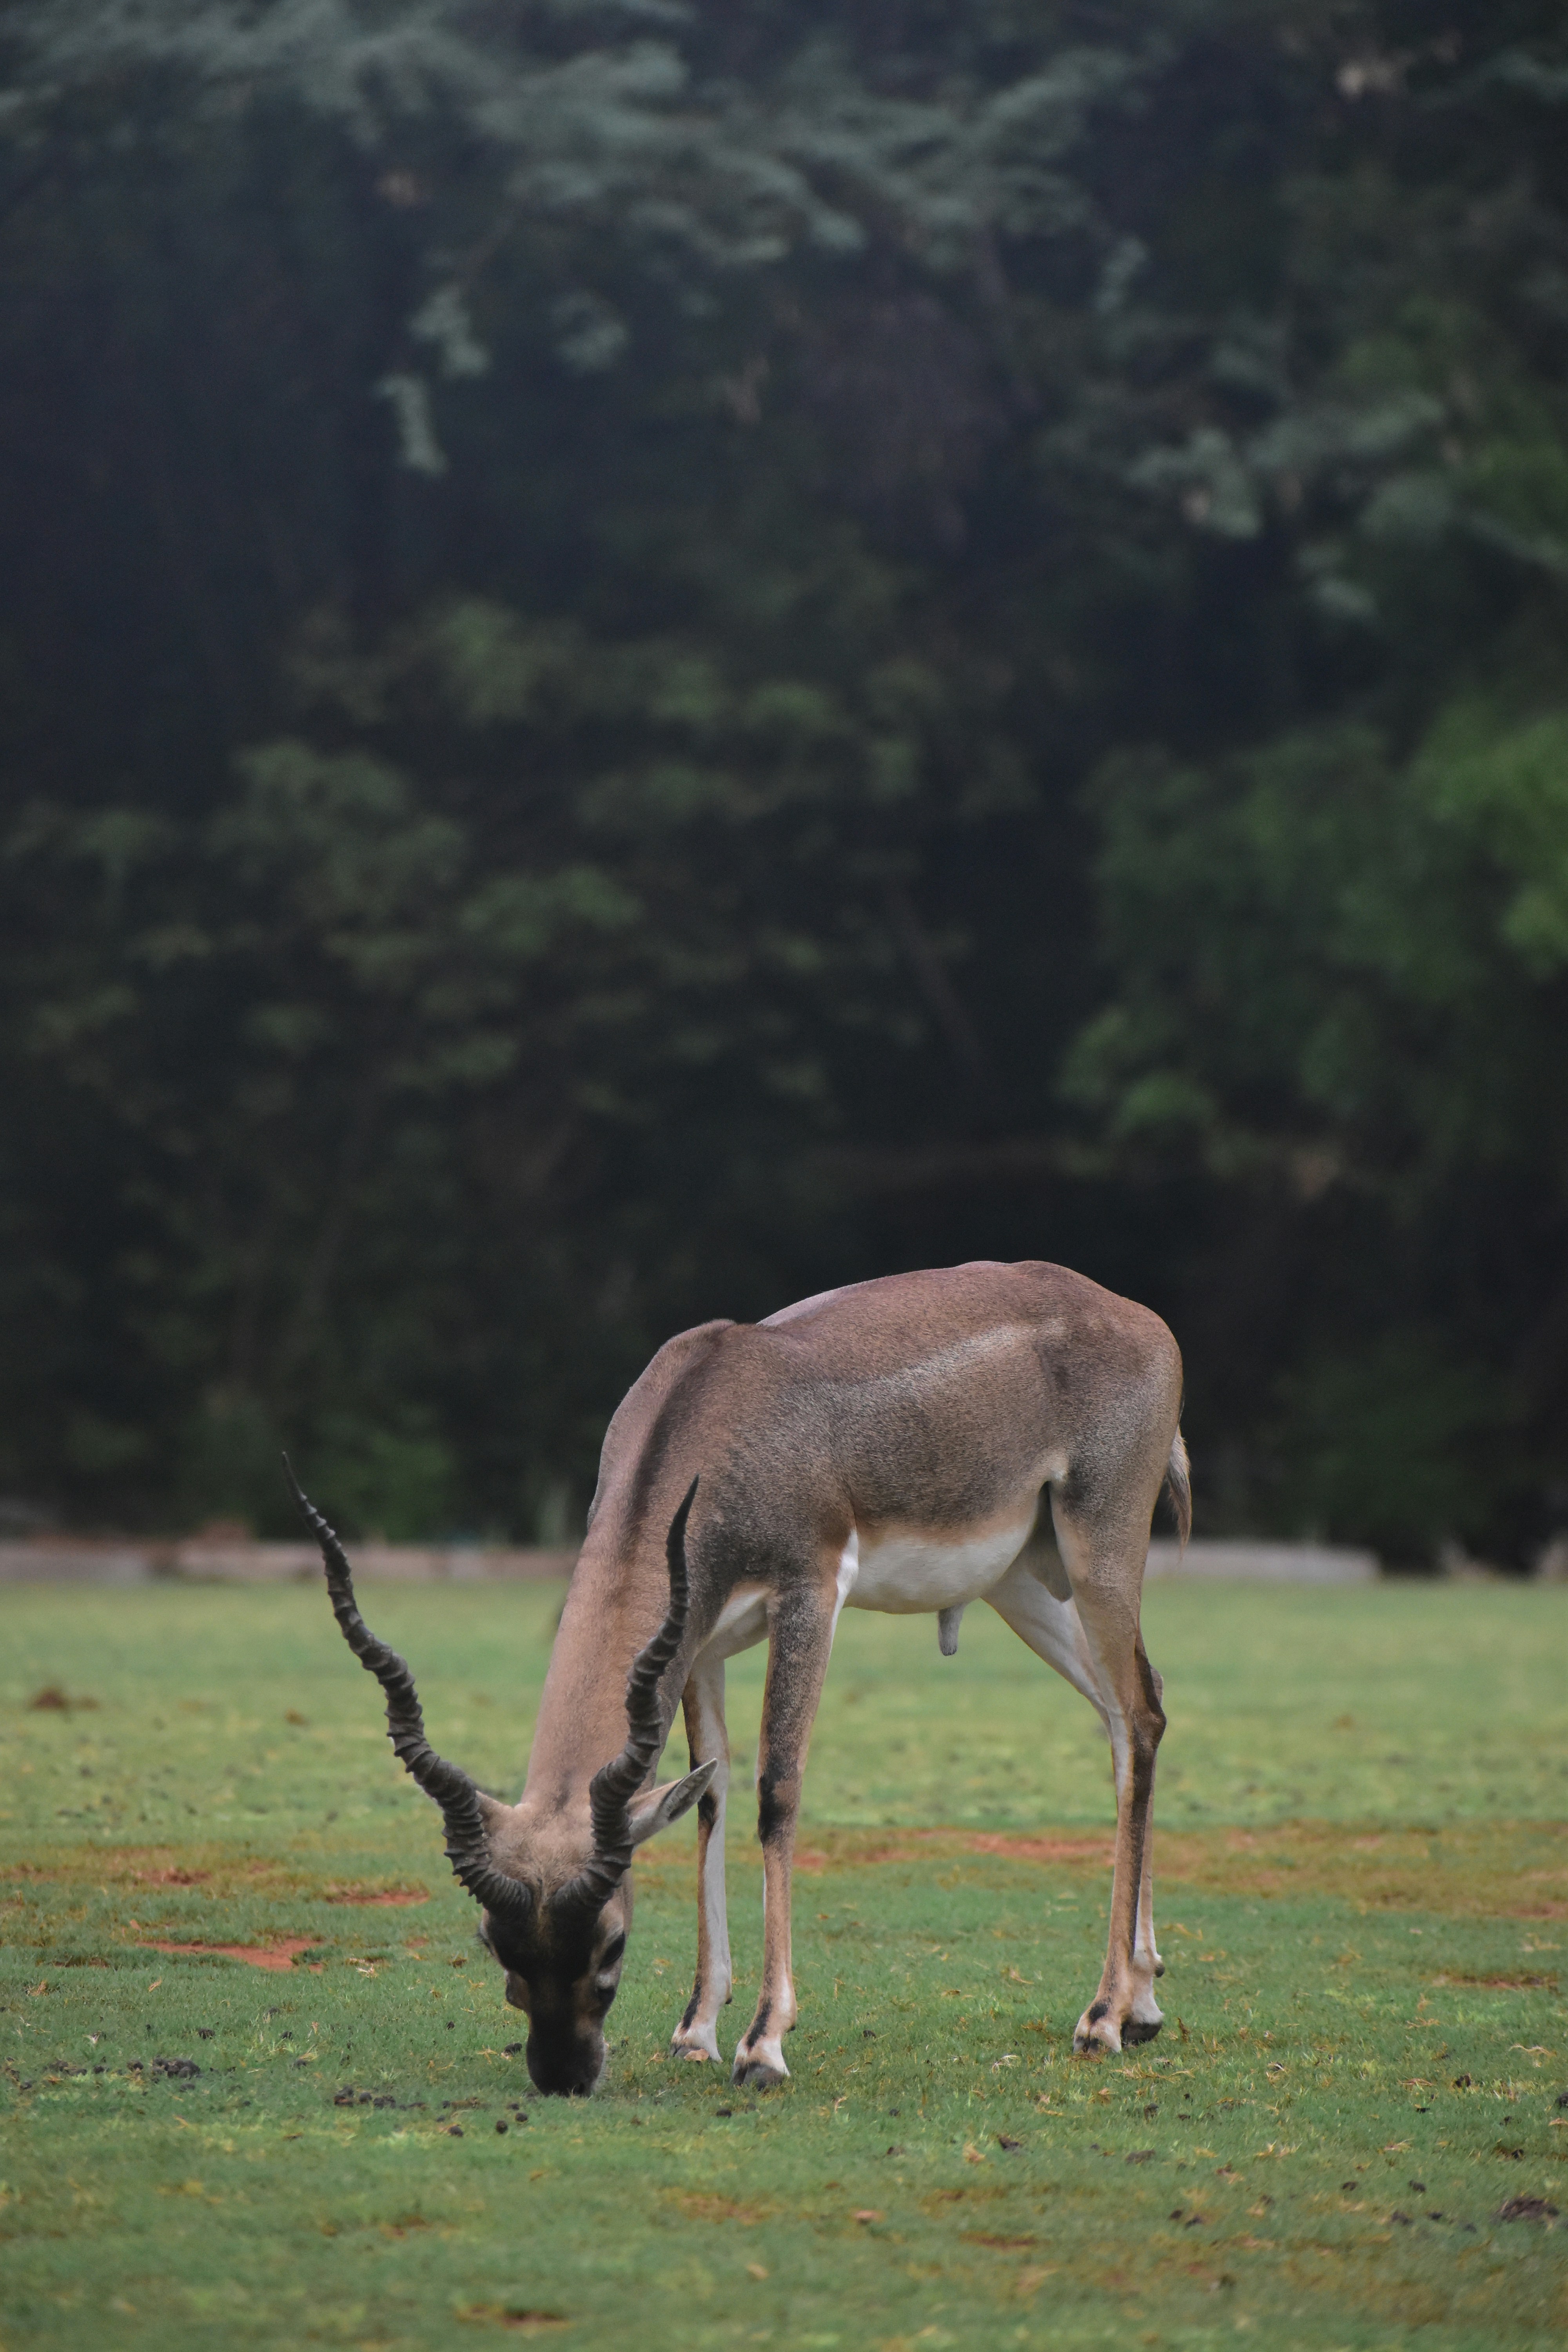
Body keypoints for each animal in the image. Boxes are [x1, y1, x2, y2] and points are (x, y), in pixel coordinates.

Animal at [290, 1258, 1188, 2096]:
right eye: (495, 1945)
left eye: (611, 1940)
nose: (564, 2074)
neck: (715, 1410)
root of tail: (1138, 1318)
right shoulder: (695, 1640)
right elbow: (709, 1796)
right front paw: (695, 2031)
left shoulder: (810, 1593)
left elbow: (776, 1791)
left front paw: (762, 2045)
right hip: (1021, 1582)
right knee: (1126, 1717)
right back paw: (1142, 2003)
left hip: (1099, 1554)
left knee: (1141, 1715)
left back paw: (1101, 2020)